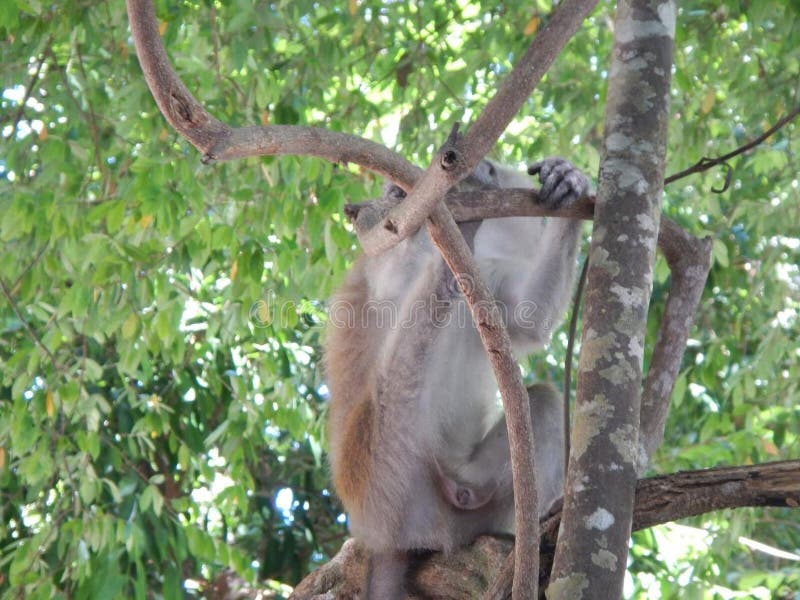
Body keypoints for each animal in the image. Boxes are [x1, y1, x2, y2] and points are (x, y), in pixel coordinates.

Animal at [324, 157, 591, 598]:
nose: (484, 169)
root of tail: (386, 539)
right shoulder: (386, 255)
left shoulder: (486, 271)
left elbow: (526, 318)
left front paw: (566, 179)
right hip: (382, 473)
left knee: (544, 401)